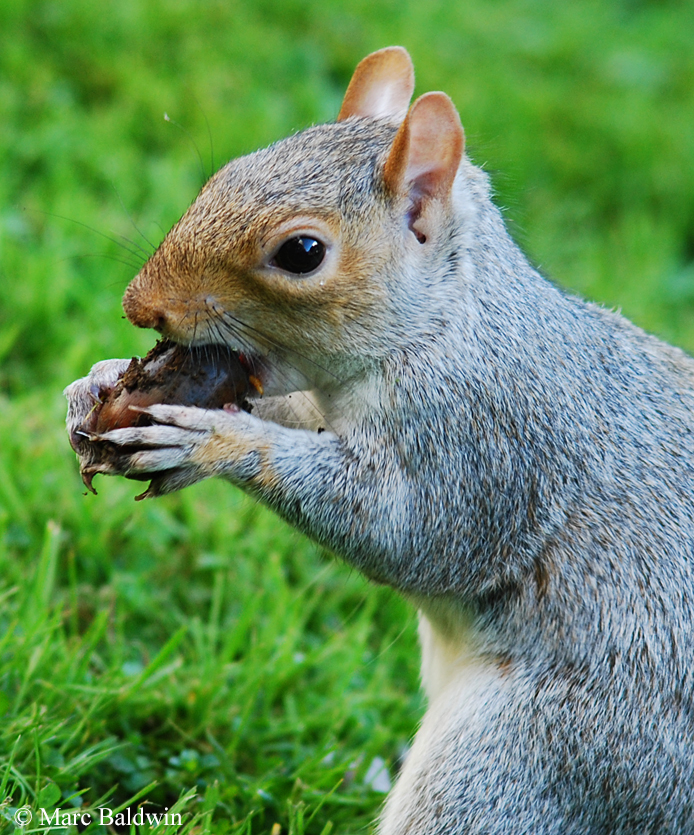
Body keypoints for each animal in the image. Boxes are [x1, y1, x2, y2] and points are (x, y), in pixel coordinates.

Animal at [65, 47, 694, 833]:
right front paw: (97, 384)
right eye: (224, 174)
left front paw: (213, 439)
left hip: (535, 755)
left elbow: (410, 531)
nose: (139, 306)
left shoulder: (486, 438)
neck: (443, 324)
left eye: (302, 252)